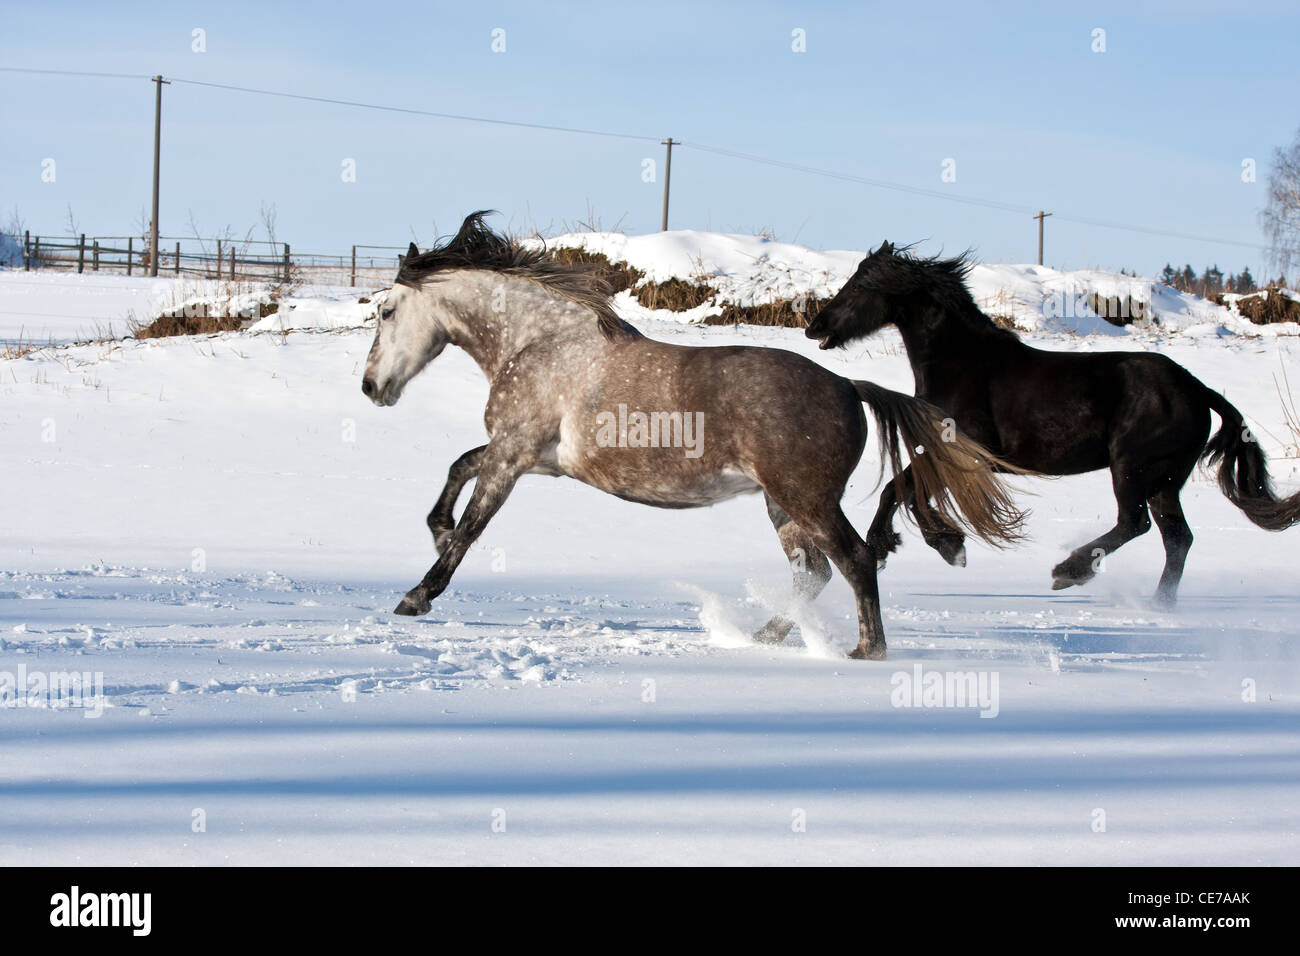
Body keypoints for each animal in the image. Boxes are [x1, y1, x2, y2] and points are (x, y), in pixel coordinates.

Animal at [361, 212, 1025, 660]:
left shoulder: (513, 456)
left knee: (856, 561)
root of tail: (847, 384)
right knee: (813, 573)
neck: (541, 342)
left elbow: (473, 527)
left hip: (806, 498)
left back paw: (864, 651)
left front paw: (417, 595)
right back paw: (759, 637)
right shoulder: (528, 457)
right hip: (781, 505)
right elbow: (457, 467)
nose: (371, 387)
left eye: (387, 312)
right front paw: (436, 529)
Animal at [803, 242, 1300, 606]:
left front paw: (906, 545)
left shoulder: (965, 452)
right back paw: (1160, 604)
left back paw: (1069, 571)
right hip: (1165, 480)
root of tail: (1197, 389)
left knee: (1135, 523)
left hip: (1132, 468)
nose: (815, 327)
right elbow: (906, 491)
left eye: (859, 285)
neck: (962, 363)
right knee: (1177, 539)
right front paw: (945, 544)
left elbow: (898, 490)